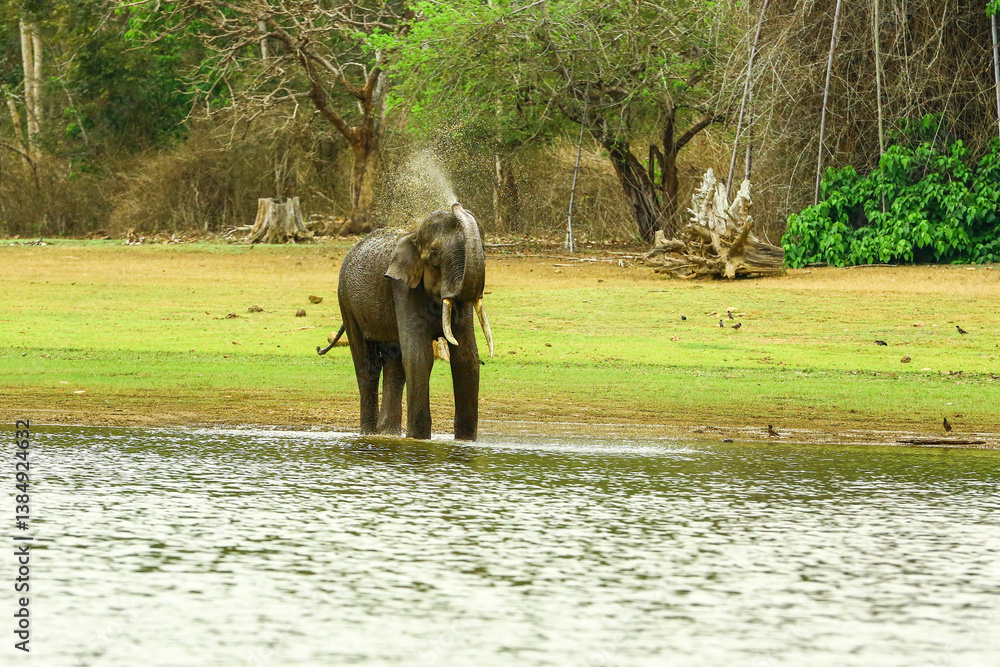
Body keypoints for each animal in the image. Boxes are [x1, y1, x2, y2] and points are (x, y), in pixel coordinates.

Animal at [330, 203, 494, 441]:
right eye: (434, 256)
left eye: (484, 250)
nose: (456, 205)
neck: (414, 236)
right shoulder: (403, 289)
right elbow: (419, 357)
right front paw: (419, 438)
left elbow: (467, 357)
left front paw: (465, 441)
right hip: (346, 301)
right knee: (367, 366)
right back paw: (369, 433)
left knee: (395, 365)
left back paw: (387, 432)